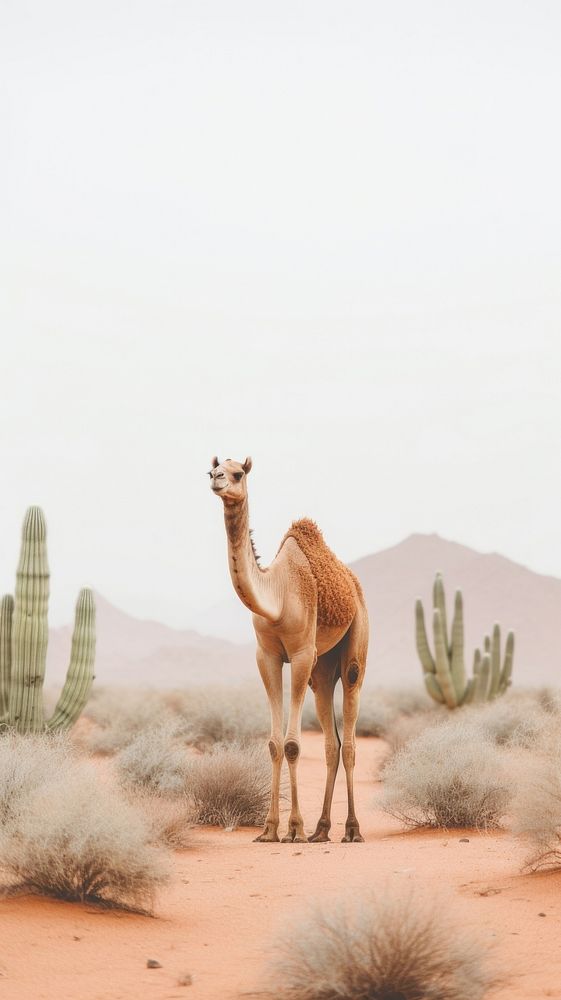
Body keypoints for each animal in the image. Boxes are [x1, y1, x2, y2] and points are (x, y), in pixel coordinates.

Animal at [209, 455, 369, 844]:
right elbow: (274, 743)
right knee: (331, 743)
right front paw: (269, 829)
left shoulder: (299, 655)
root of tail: (353, 584)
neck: (277, 598)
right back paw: (321, 830)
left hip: (353, 645)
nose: (217, 480)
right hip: (321, 668)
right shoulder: (266, 656)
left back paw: (351, 829)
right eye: (213, 469)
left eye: (238, 473)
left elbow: (294, 744)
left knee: (350, 738)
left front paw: (293, 828)